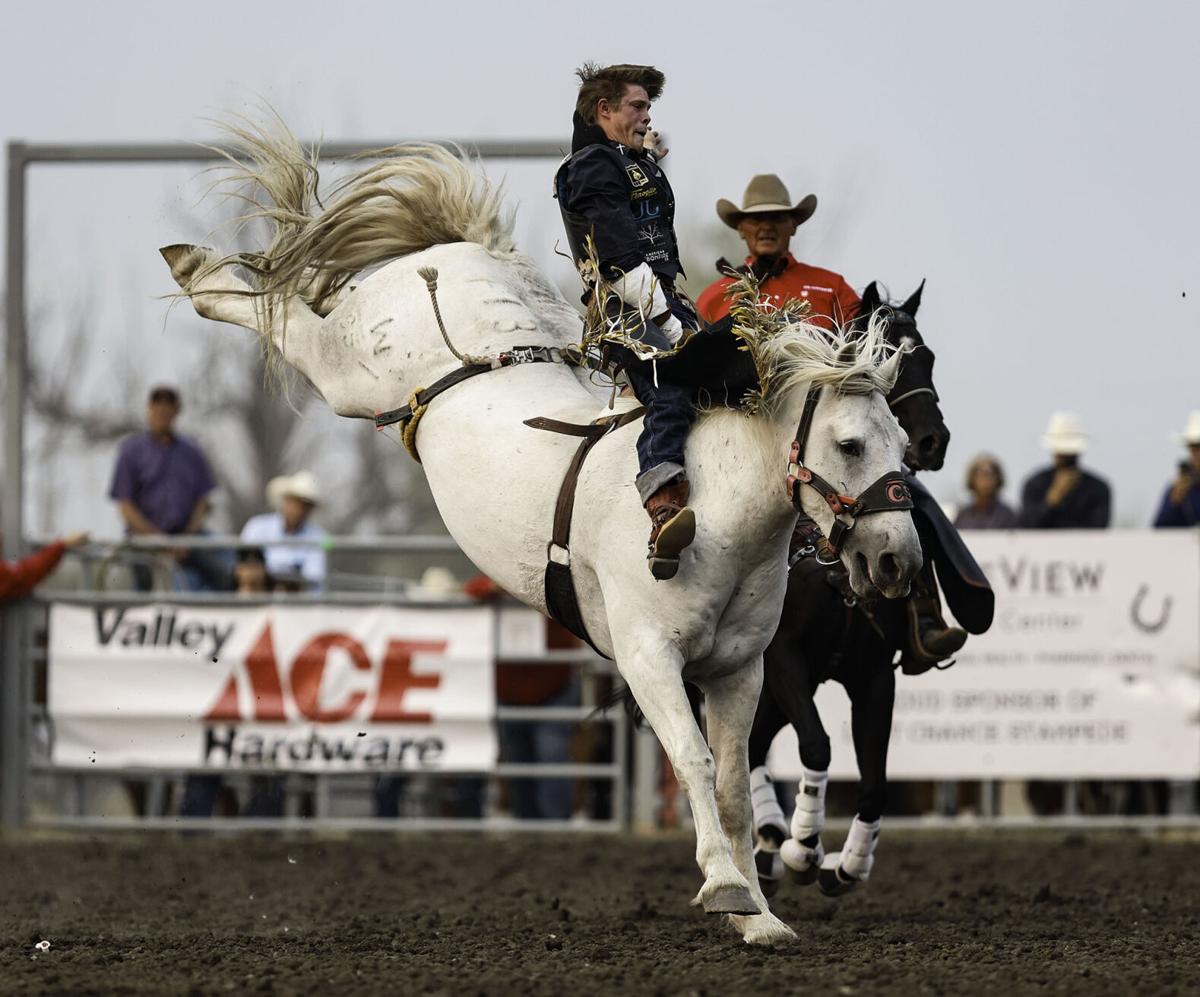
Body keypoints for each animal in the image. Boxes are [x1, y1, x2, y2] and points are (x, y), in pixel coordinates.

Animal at [159, 126, 922, 945]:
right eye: (850, 444)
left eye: (906, 446)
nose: (896, 559)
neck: (714, 509)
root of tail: (457, 253)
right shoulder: (650, 659)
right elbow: (689, 758)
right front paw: (724, 886)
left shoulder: (739, 670)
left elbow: (730, 782)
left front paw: (761, 915)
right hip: (344, 369)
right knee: (280, 314)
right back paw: (196, 266)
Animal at [746, 283, 992, 898]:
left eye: (927, 358)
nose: (930, 442)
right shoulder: (784, 662)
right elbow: (817, 745)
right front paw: (804, 845)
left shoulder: (876, 676)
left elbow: (876, 781)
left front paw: (848, 863)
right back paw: (771, 838)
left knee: (754, 743)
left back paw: (767, 840)